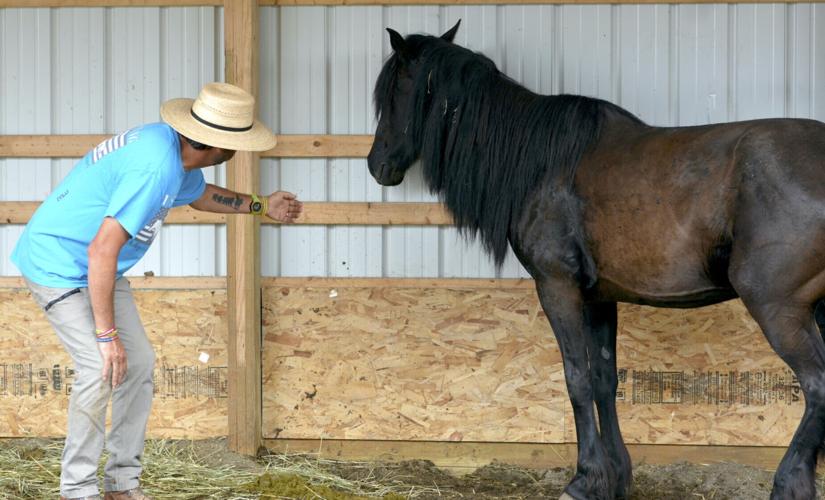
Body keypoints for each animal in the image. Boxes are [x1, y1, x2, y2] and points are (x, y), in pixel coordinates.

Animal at [367, 20, 825, 500]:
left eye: (394, 91)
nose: (377, 164)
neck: (540, 162)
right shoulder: (601, 297)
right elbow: (605, 379)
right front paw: (616, 476)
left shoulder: (557, 288)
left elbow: (577, 378)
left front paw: (585, 477)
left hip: (780, 309)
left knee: (817, 387)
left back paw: (788, 484)